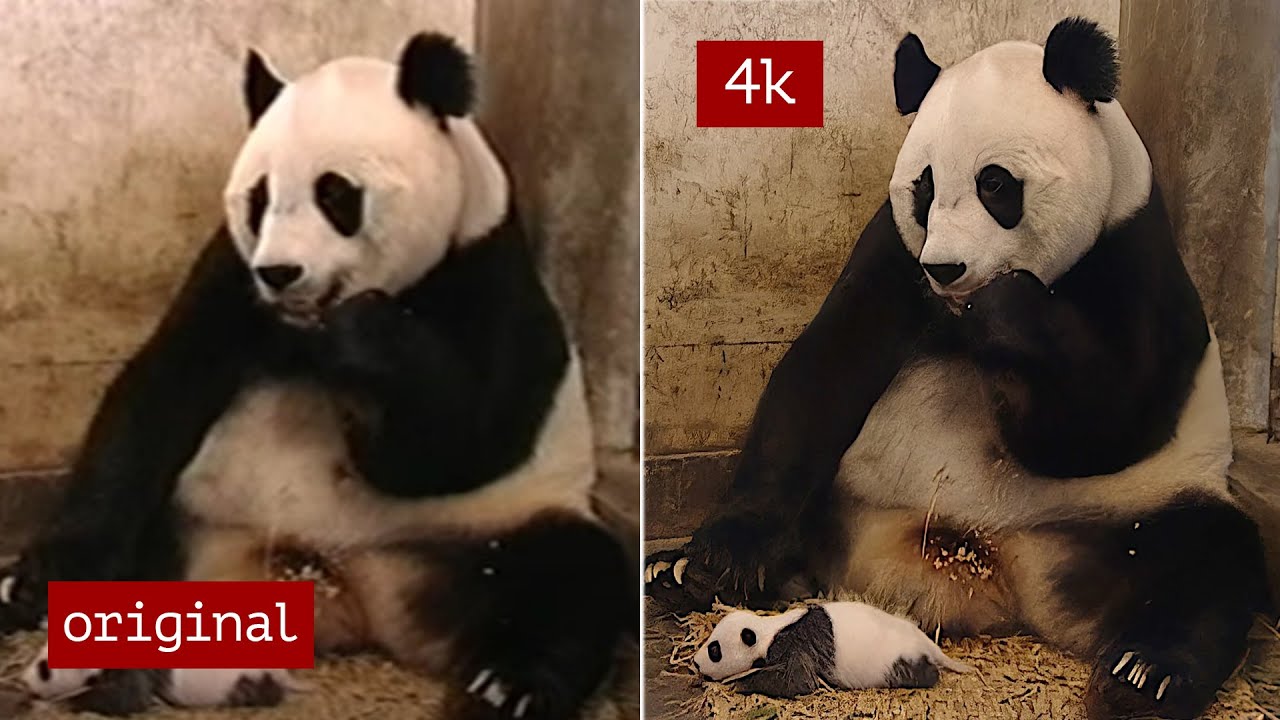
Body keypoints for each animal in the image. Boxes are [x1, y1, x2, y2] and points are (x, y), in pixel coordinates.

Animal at [0, 32, 630, 720]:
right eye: (260, 198)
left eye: (336, 194)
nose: (281, 272)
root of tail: (348, 597)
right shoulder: (231, 274)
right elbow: (159, 392)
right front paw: (37, 579)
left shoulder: (488, 273)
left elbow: (460, 446)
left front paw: (363, 339)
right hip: (196, 512)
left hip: (491, 528)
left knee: (573, 573)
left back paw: (508, 685)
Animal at [645, 17, 1269, 720]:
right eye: (924, 188)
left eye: (994, 184)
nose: (947, 269)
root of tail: (999, 574)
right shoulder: (895, 250)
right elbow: (825, 373)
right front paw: (720, 557)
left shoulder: (1135, 253)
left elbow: (1107, 427)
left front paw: (1009, 316)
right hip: (850, 492)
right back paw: (679, 575)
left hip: (1142, 505)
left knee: (1207, 559)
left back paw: (1146, 674)